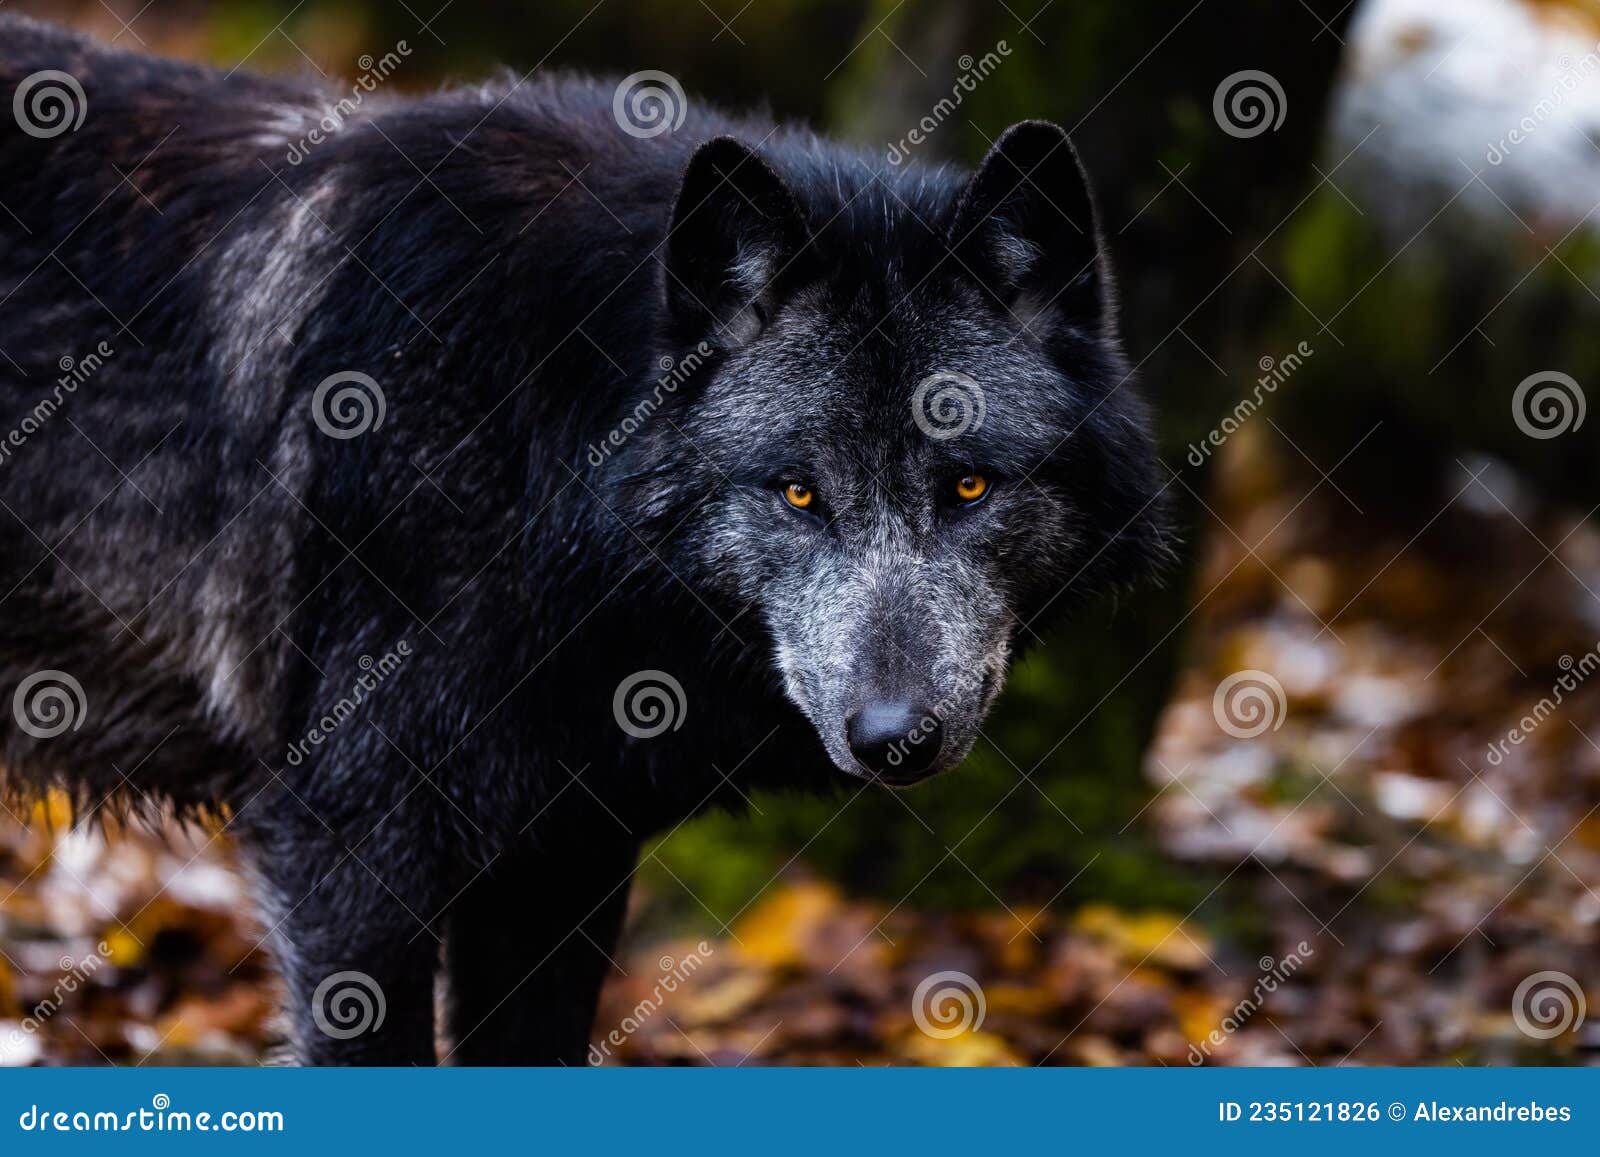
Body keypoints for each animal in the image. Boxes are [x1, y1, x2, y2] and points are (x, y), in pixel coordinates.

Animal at [0, 15, 1167, 1064]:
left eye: (968, 485)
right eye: (796, 493)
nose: (895, 736)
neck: (539, 435)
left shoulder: (560, 853)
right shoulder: (342, 841)